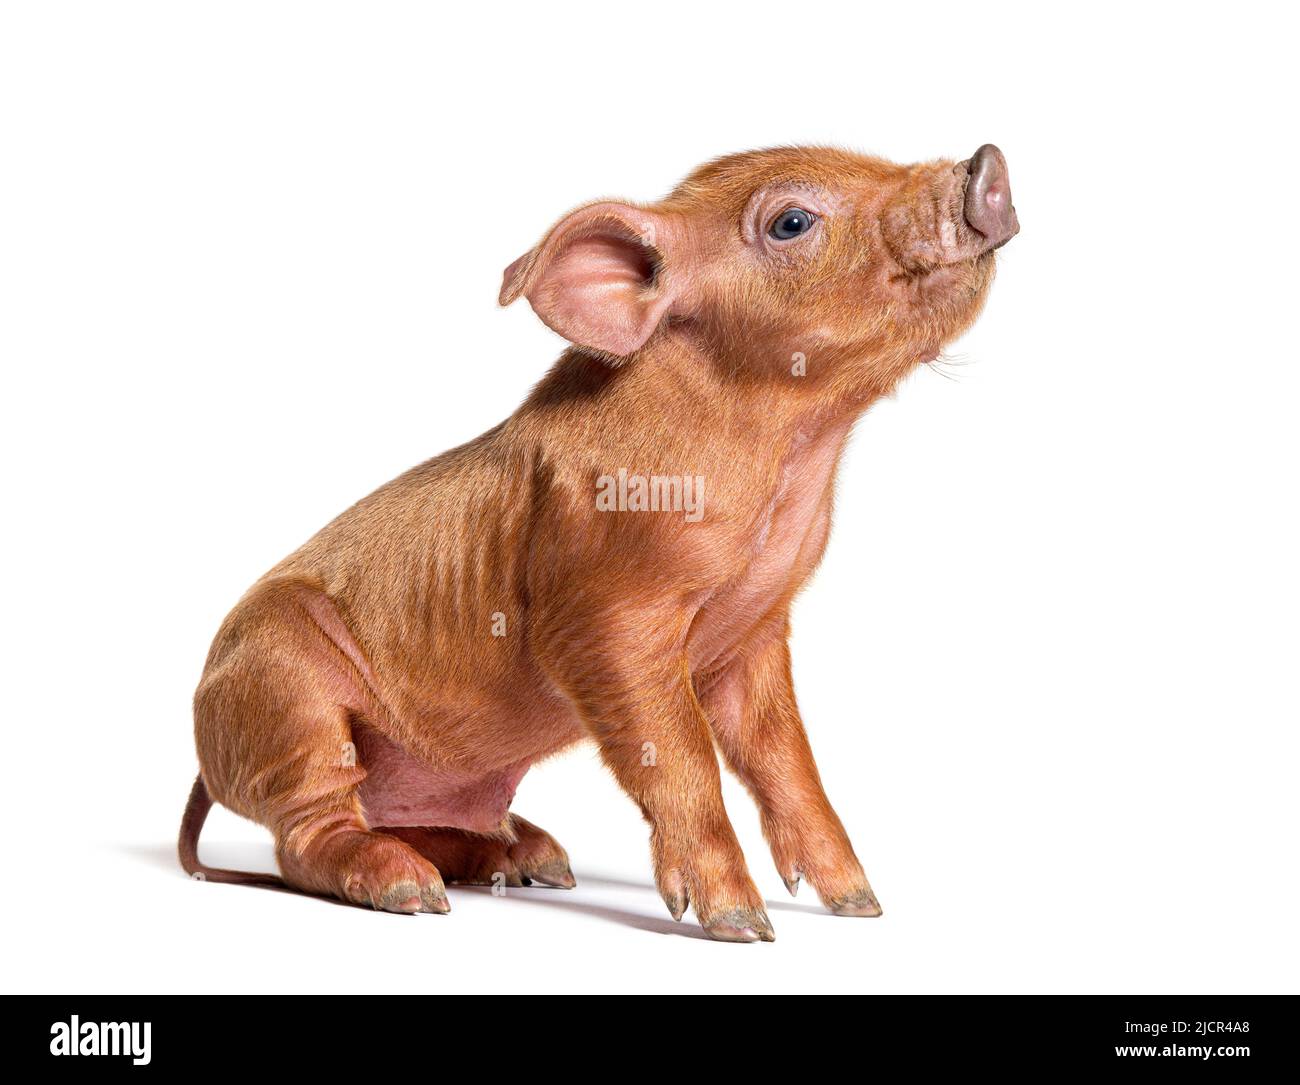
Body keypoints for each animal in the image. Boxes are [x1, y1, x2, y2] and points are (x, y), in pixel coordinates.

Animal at [180, 143, 1018, 941]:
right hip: (284, 688)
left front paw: (861, 904)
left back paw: (538, 861)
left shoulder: (755, 629)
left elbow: (783, 754)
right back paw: (414, 890)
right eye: (790, 222)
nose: (988, 164)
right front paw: (742, 925)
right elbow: (681, 755)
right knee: (309, 834)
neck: (789, 464)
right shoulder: (601, 616)